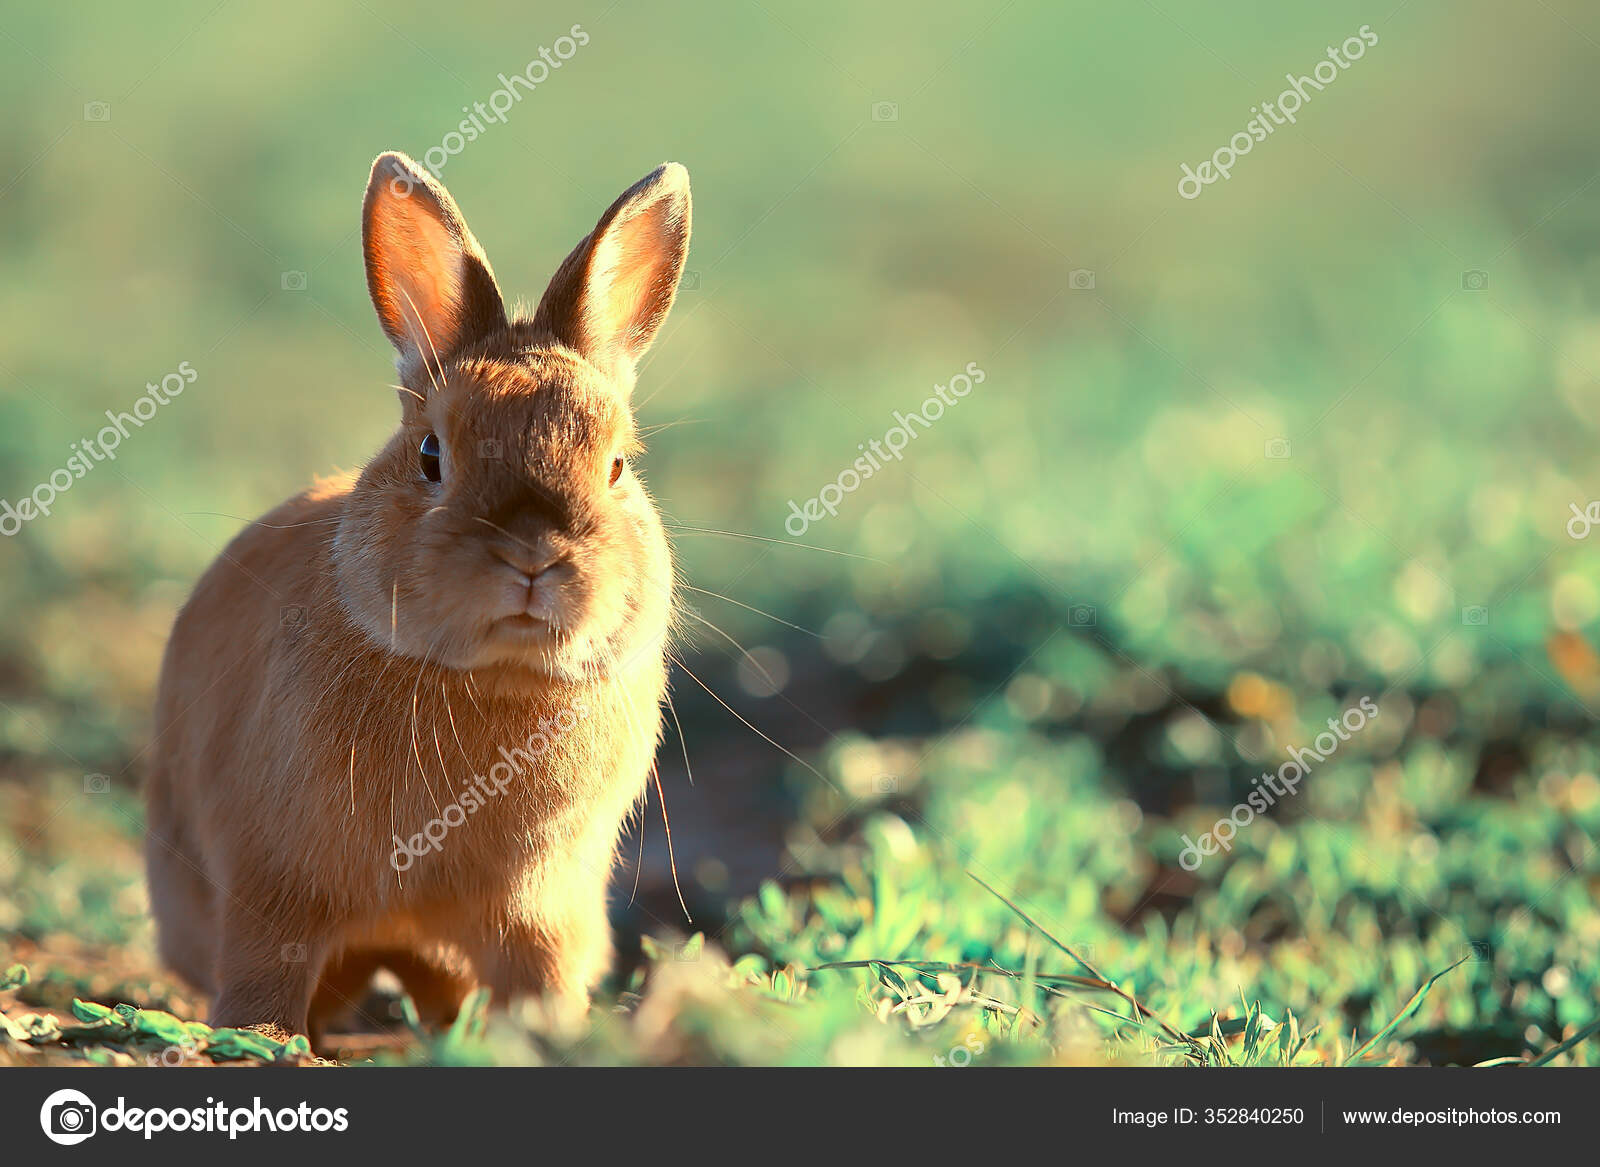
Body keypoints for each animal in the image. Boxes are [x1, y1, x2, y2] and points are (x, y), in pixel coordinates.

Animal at [144, 150, 690, 1048]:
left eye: (618, 465)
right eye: (432, 454)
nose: (533, 554)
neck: (493, 675)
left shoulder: (544, 907)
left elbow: (542, 970)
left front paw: (549, 1034)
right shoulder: (272, 884)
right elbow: (265, 965)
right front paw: (262, 1040)